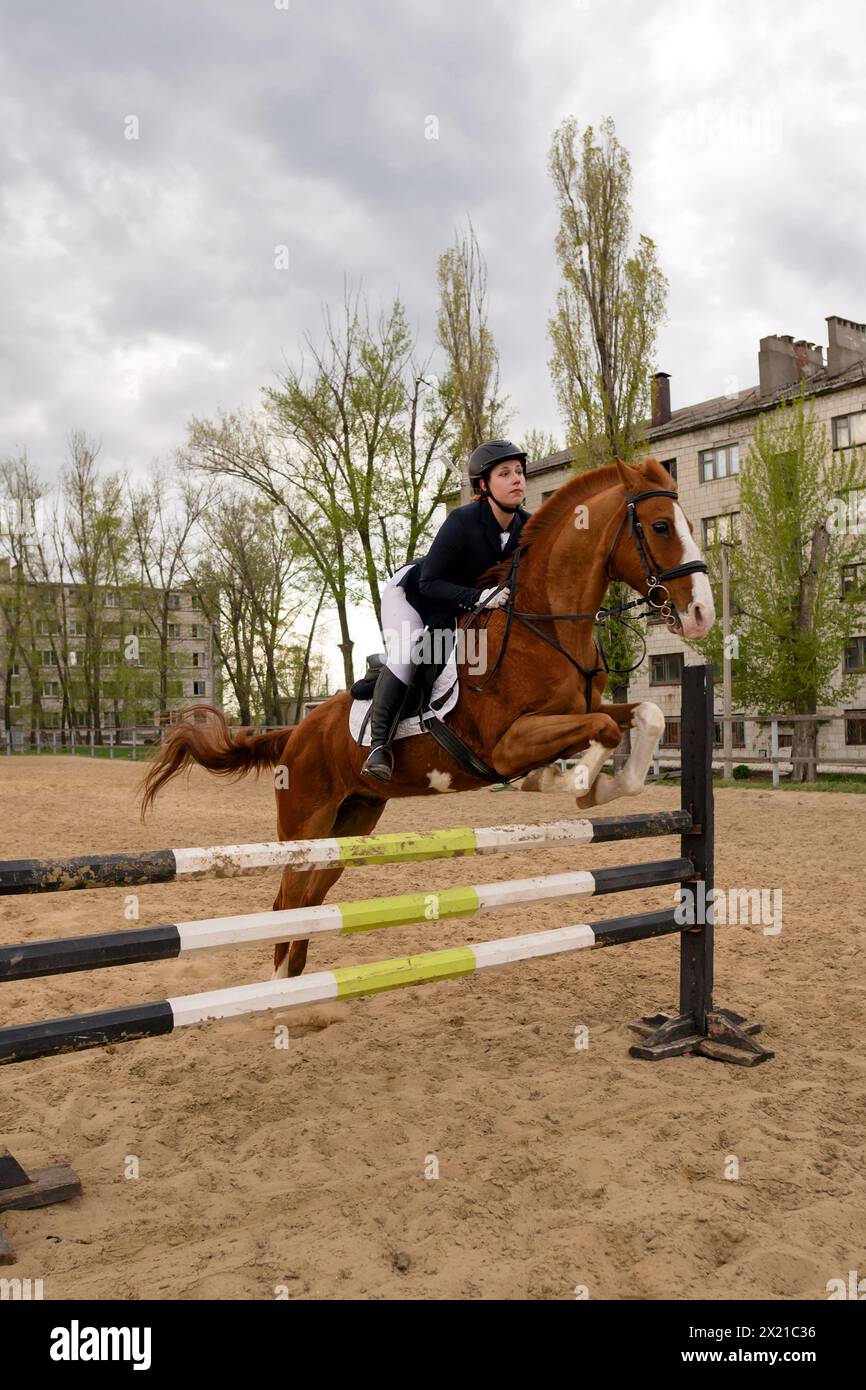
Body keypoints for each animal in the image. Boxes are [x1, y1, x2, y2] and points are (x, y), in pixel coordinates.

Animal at [140, 455, 715, 978]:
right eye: (661, 527)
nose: (701, 615)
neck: (545, 626)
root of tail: (296, 732)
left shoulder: (584, 710)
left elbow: (644, 717)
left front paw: (607, 787)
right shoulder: (507, 744)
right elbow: (601, 731)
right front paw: (565, 782)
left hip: (351, 823)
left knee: (307, 902)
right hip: (304, 823)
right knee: (287, 902)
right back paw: (283, 996)